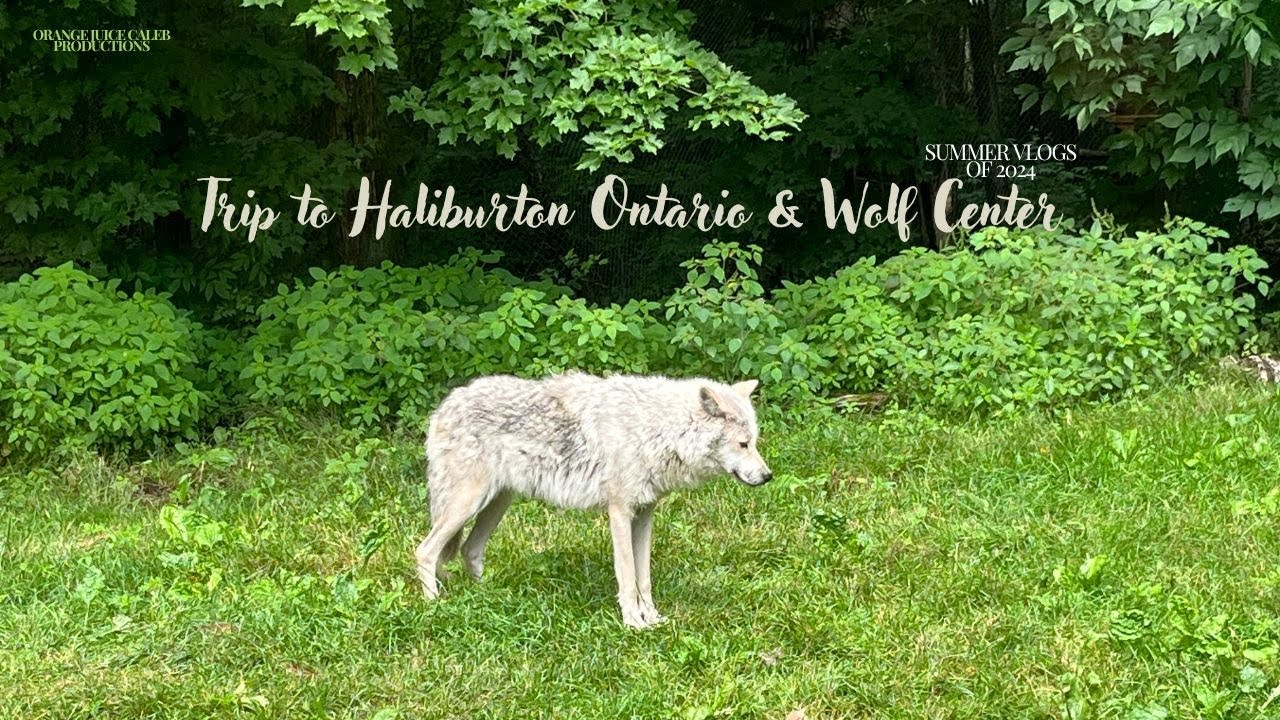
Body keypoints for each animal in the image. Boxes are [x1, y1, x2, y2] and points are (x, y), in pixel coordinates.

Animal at [414, 372, 772, 629]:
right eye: (743, 444)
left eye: (754, 442)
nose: (768, 476)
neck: (655, 429)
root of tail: (445, 404)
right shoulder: (619, 512)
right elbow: (627, 576)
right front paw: (634, 623)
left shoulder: (645, 515)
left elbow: (644, 578)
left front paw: (653, 618)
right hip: (466, 504)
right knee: (425, 551)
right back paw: (434, 606)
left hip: (497, 503)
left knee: (469, 550)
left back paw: (487, 597)